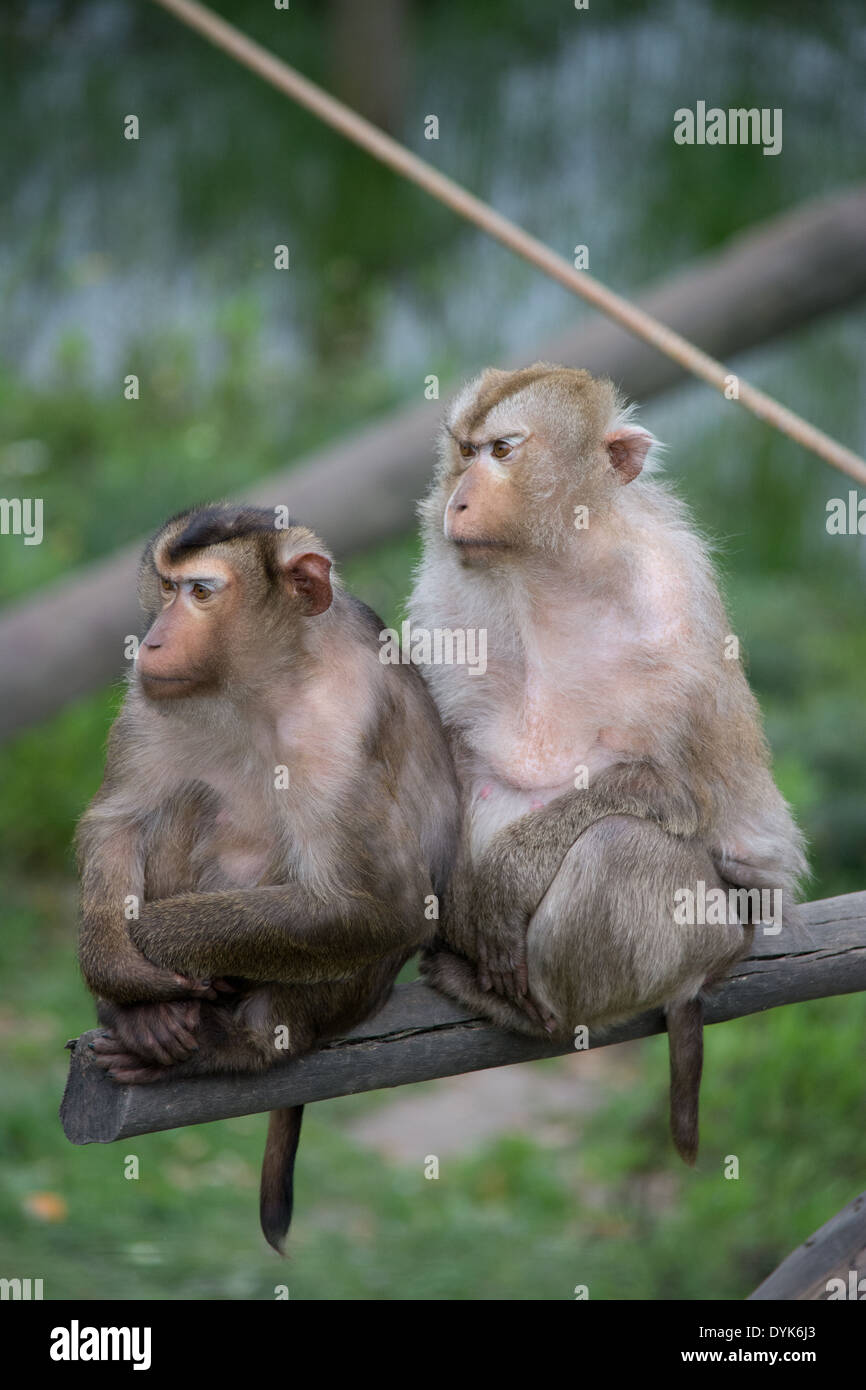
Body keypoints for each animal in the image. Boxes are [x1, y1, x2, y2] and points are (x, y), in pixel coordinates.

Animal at [75, 503, 459, 1251]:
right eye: (166, 588)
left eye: (201, 592)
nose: (154, 640)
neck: (264, 683)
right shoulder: (153, 694)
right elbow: (117, 820)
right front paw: (117, 966)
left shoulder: (340, 726)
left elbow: (382, 908)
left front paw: (152, 948)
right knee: (180, 800)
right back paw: (151, 1018)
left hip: (338, 998)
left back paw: (233, 1043)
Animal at [409, 363, 807, 1162]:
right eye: (464, 450)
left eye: (503, 451)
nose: (459, 497)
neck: (550, 576)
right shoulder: (442, 599)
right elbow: (448, 759)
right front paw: (466, 897)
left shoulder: (672, 599)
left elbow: (673, 791)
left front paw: (505, 881)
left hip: (710, 936)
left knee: (619, 846)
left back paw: (535, 1012)